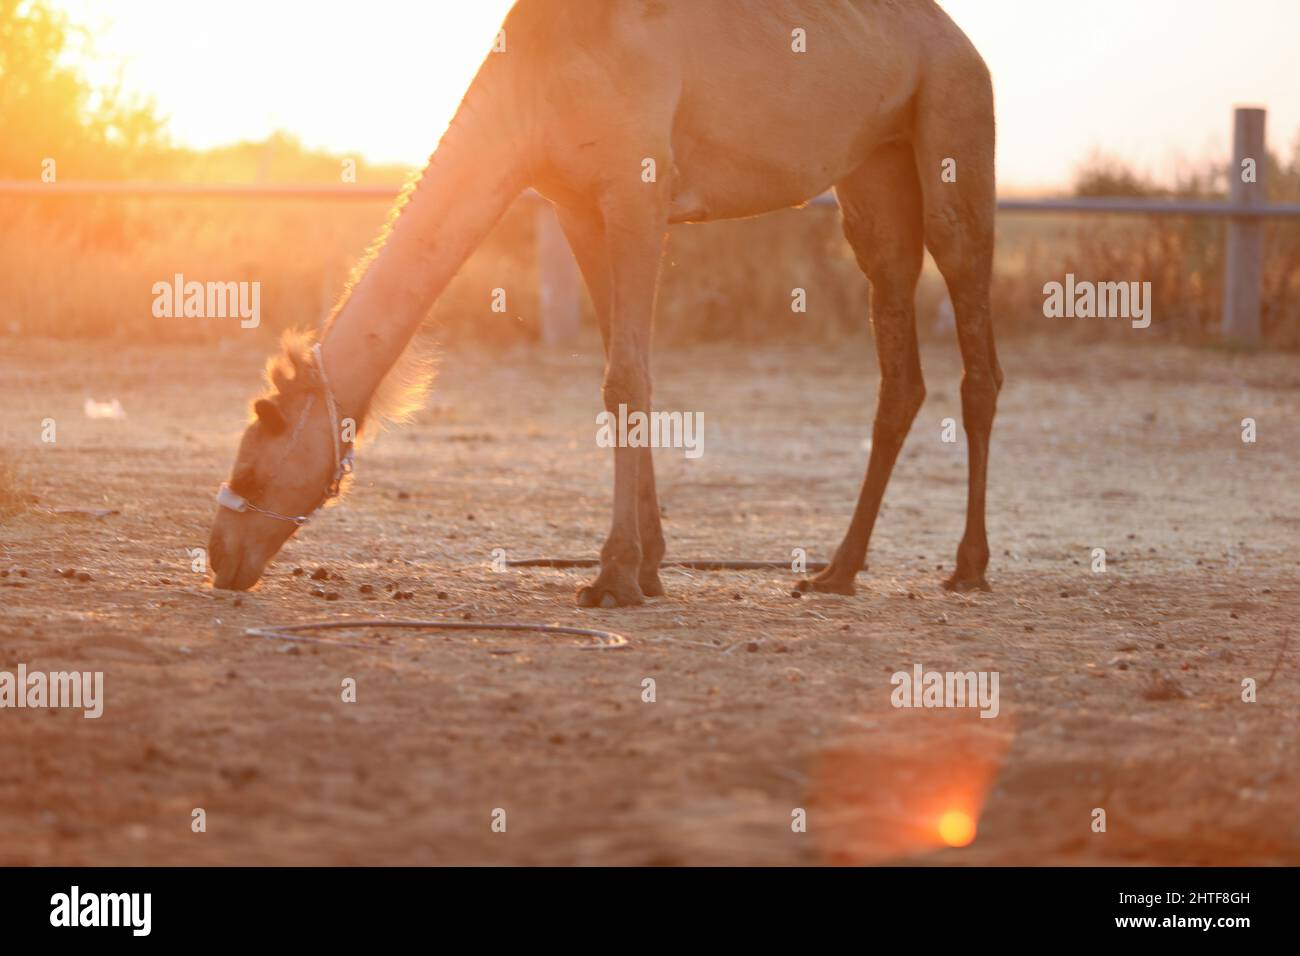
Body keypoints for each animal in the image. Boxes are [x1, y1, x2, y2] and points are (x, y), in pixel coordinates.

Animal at [208, 0, 1002, 606]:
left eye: (251, 470)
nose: (218, 558)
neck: (535, 83)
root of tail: (962, 42)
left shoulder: (637, 196)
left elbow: (623, 377)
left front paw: (614, 576)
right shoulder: (579, 211)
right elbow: (628, 374)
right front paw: (649, 568)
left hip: (956, 124)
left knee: (975, 348)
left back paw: (967, 567)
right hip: (872, 177)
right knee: (899, 365)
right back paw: (837, 572)